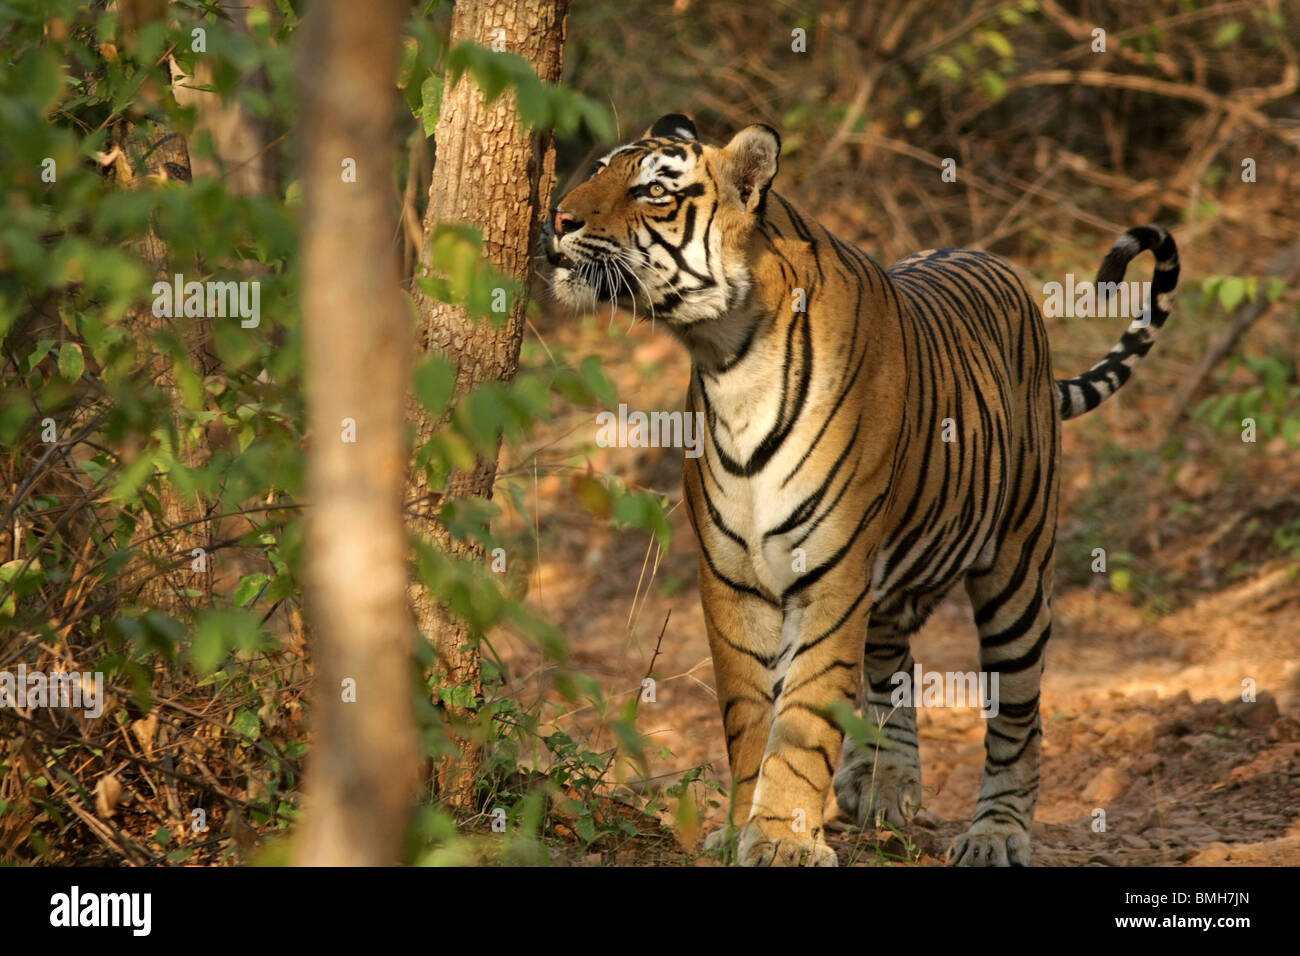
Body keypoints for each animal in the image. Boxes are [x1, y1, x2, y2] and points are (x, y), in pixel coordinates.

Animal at [544, 113, 1180, 866]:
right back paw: (881, 783)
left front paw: (783, 837)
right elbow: (749, 710)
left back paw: (996, 833)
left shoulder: (831, 570)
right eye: (599, 169)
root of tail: (995, 264)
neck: (726, 356)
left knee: (1018, 712)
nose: (557, 218)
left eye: (652, 191)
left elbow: (803, 714)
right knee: (890, 657)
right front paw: (743, 825)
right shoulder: (731, 575)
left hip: (1017, 568)